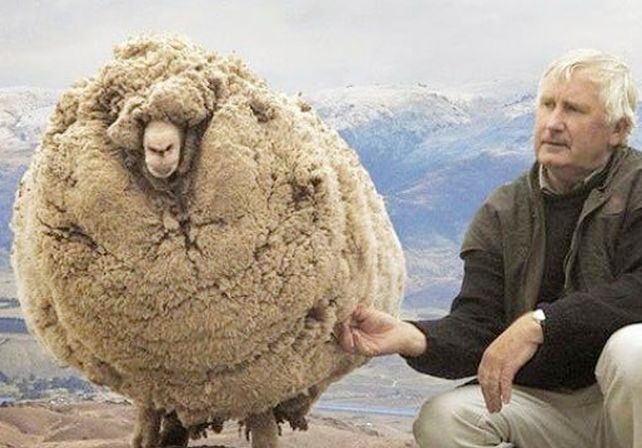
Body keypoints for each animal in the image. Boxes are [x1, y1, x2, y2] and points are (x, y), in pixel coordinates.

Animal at [10, 35, 405, 448]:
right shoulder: (155, 384)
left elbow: (264, 436)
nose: (160, 149)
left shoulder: (262, 380)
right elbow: (147, 435)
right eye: (133, 121)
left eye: (191, 123)